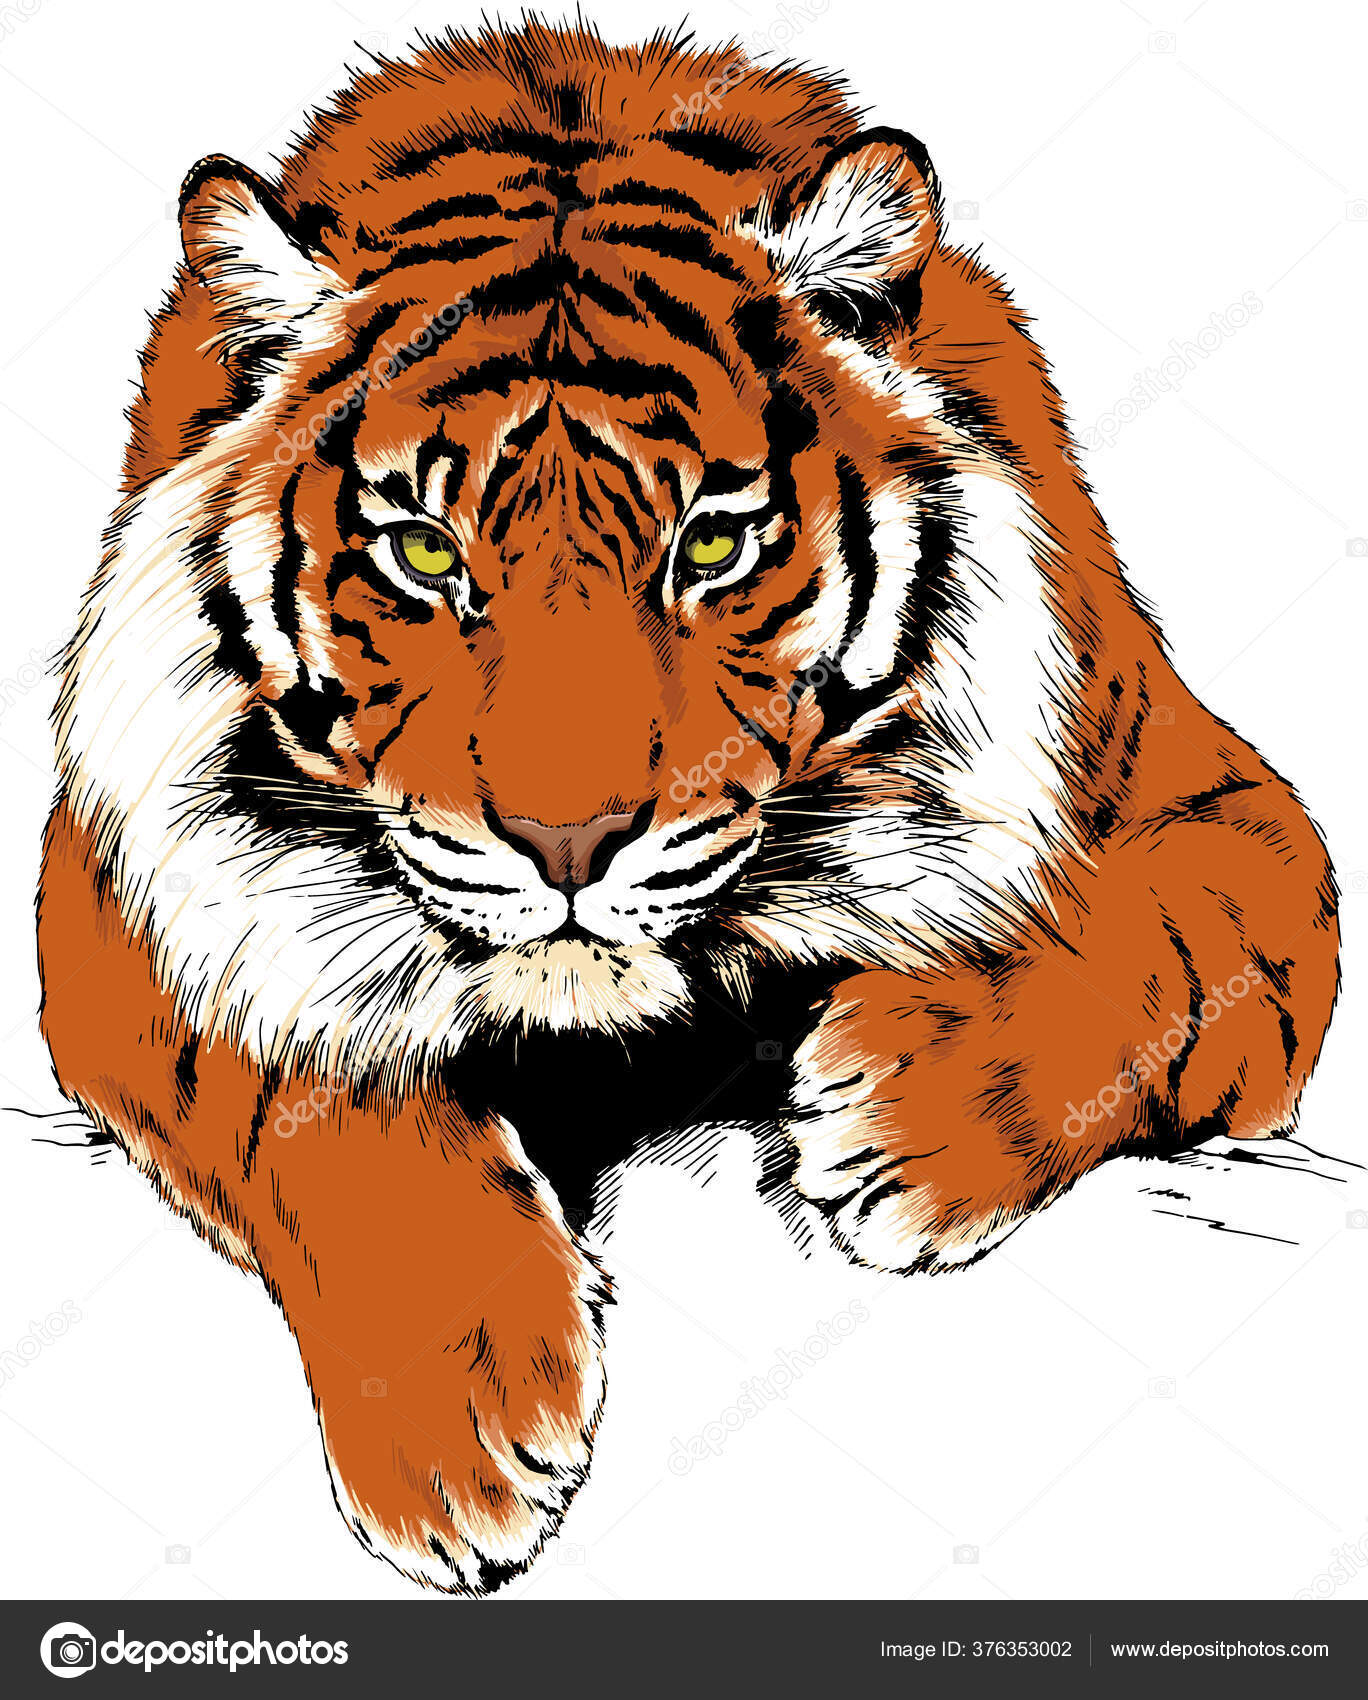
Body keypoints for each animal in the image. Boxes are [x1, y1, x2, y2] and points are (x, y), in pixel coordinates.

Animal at [37, 21, 1339, 1594]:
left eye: (711, 545)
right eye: (425, 552)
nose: (567, 840)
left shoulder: (1233, 814)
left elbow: (1157, 943)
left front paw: (910, 1115)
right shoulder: (120, 902)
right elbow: (296, 1088)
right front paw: (459, 1443)